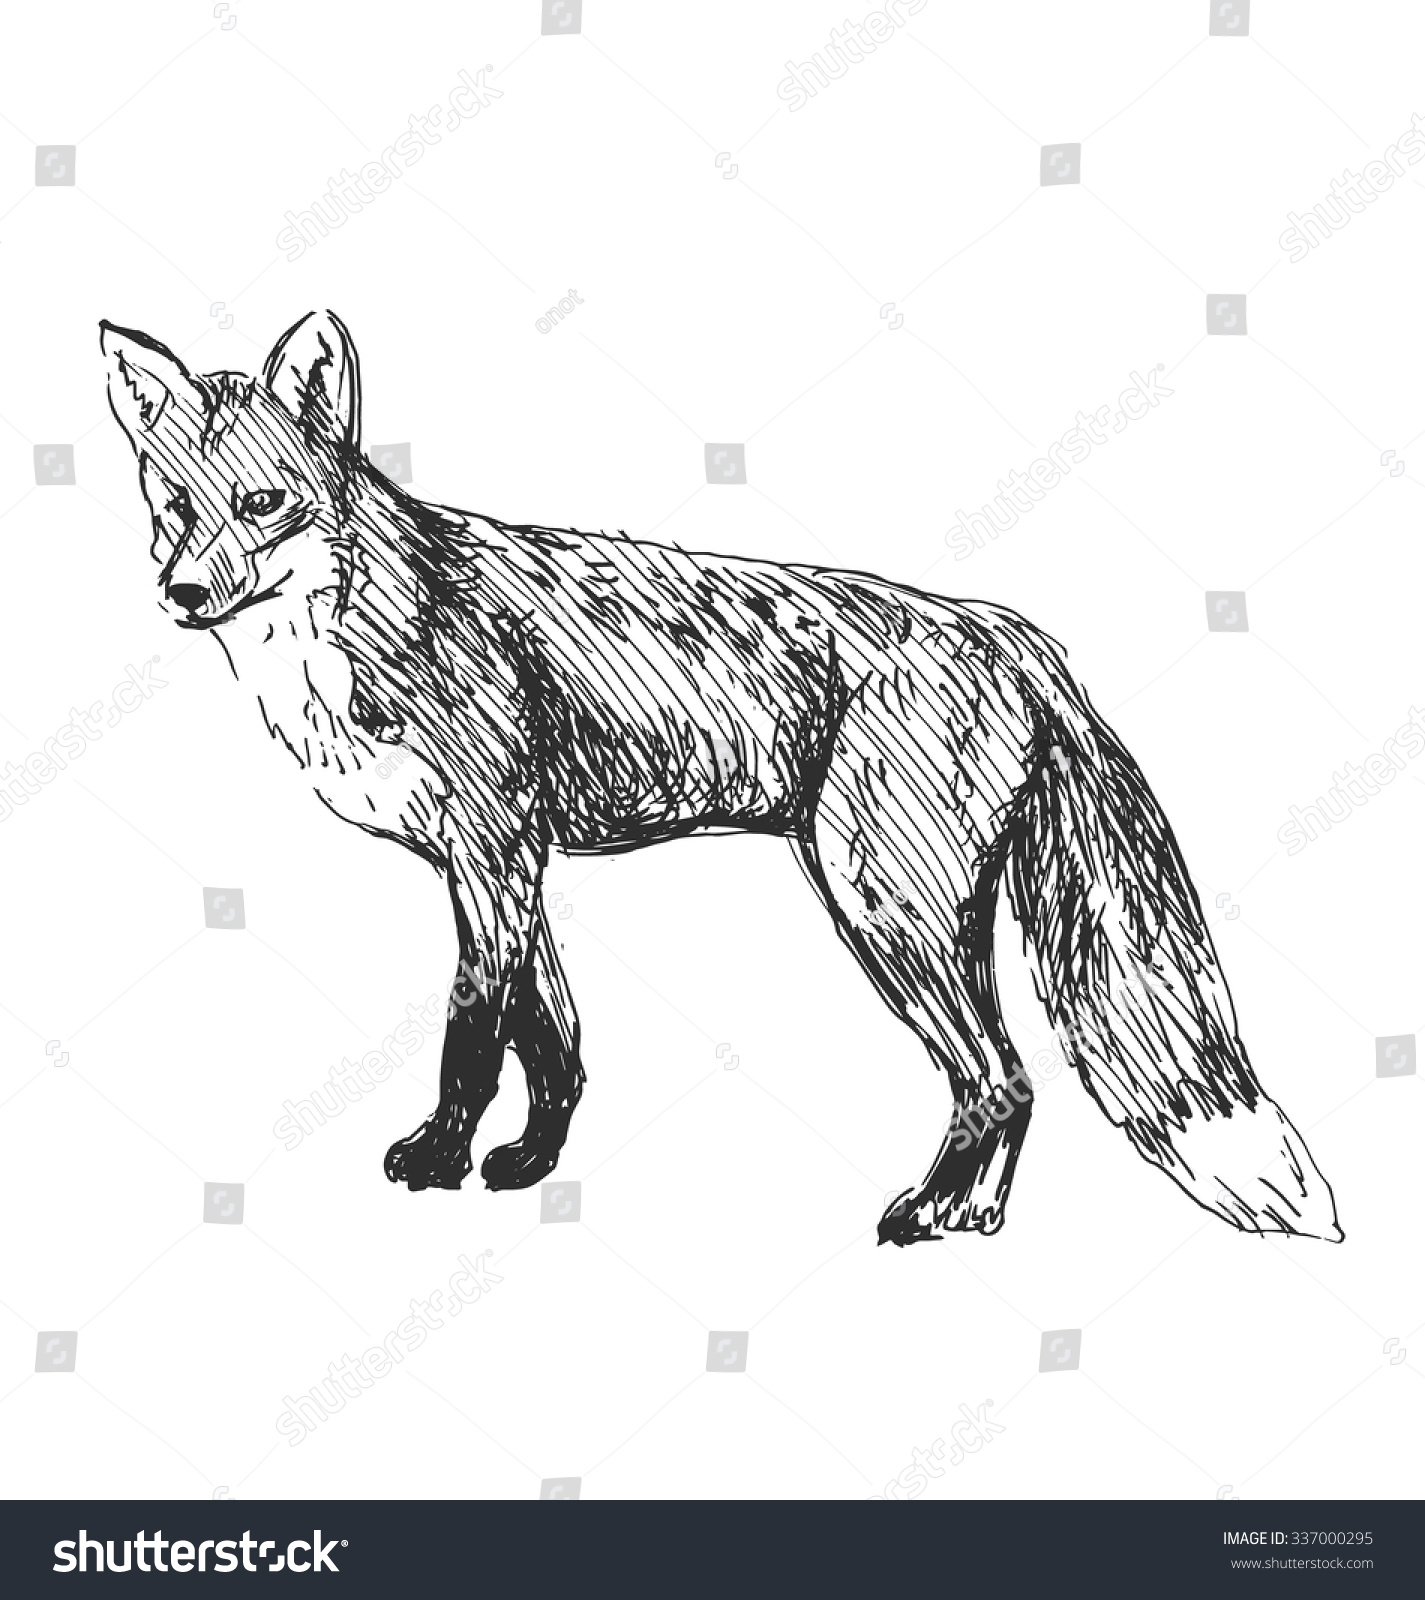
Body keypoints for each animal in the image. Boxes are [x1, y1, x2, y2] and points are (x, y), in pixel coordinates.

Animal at [101, 310, 1342, 1245]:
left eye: (263, 505)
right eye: (174, 510)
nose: (183, 593)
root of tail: (1011, 631)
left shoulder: (493, 853)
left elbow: (471, 1039)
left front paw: (441, 1158)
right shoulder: (505, 866)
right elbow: (553, 1039)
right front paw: (529, 1162)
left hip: (883, 909)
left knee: (1000, 1077)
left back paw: (927, 1215)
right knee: (1015, 1082)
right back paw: (976, 1218)